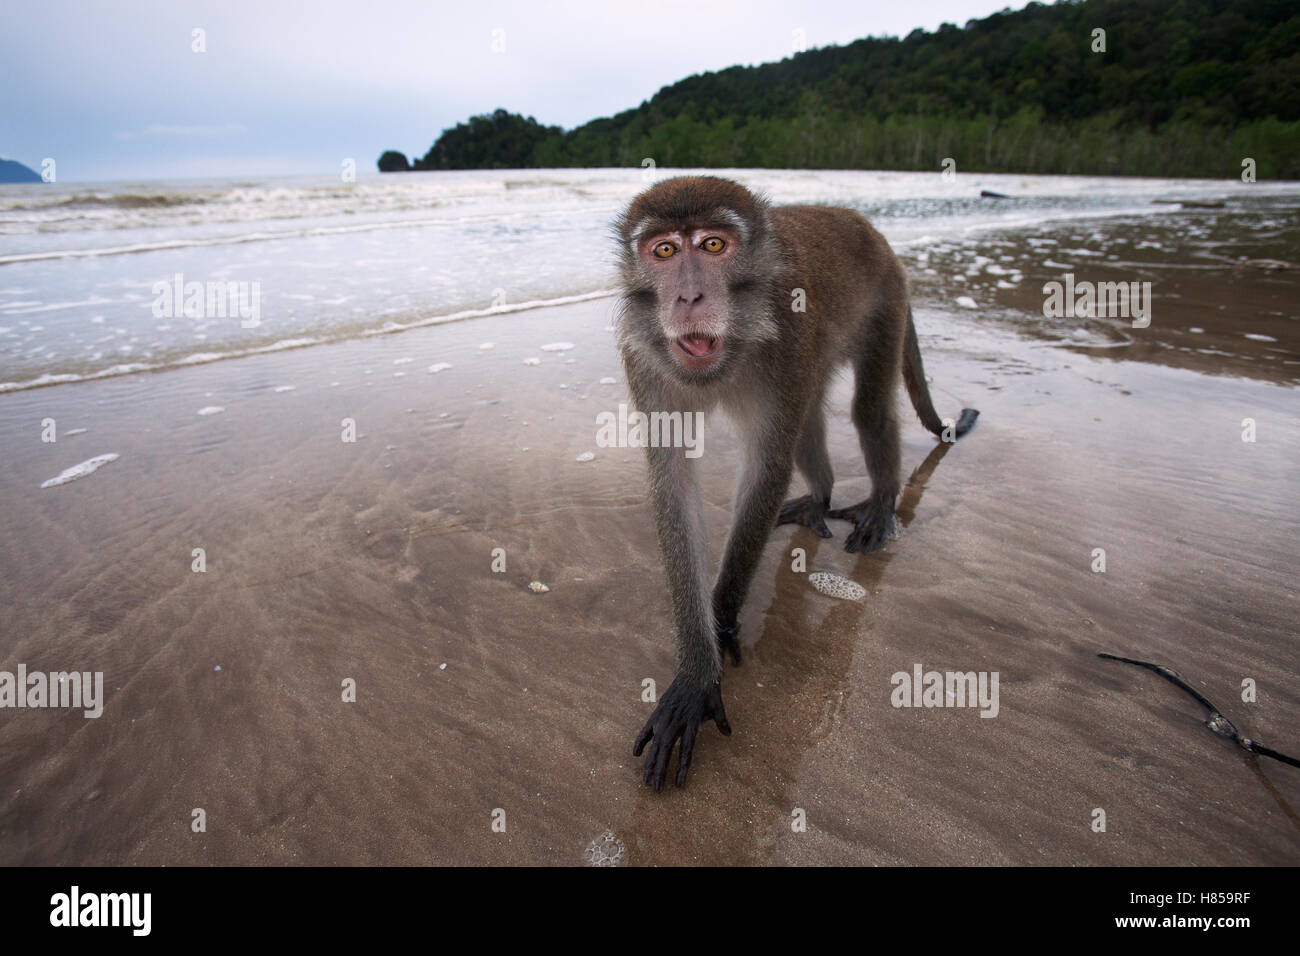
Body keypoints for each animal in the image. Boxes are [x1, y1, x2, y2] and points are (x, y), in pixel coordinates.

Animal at [614, 175, 978, 791]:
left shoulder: (788, 332)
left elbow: (768, 467)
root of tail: (866, 226)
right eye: (663, 250)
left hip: (885, 300)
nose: (688, 299)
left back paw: (881, 502)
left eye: (713, 245)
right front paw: (697, 662)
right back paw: (821, 498)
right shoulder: (644, 358)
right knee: (811, 417)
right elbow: (674, 486)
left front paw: (721, 624)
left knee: (868, 408)